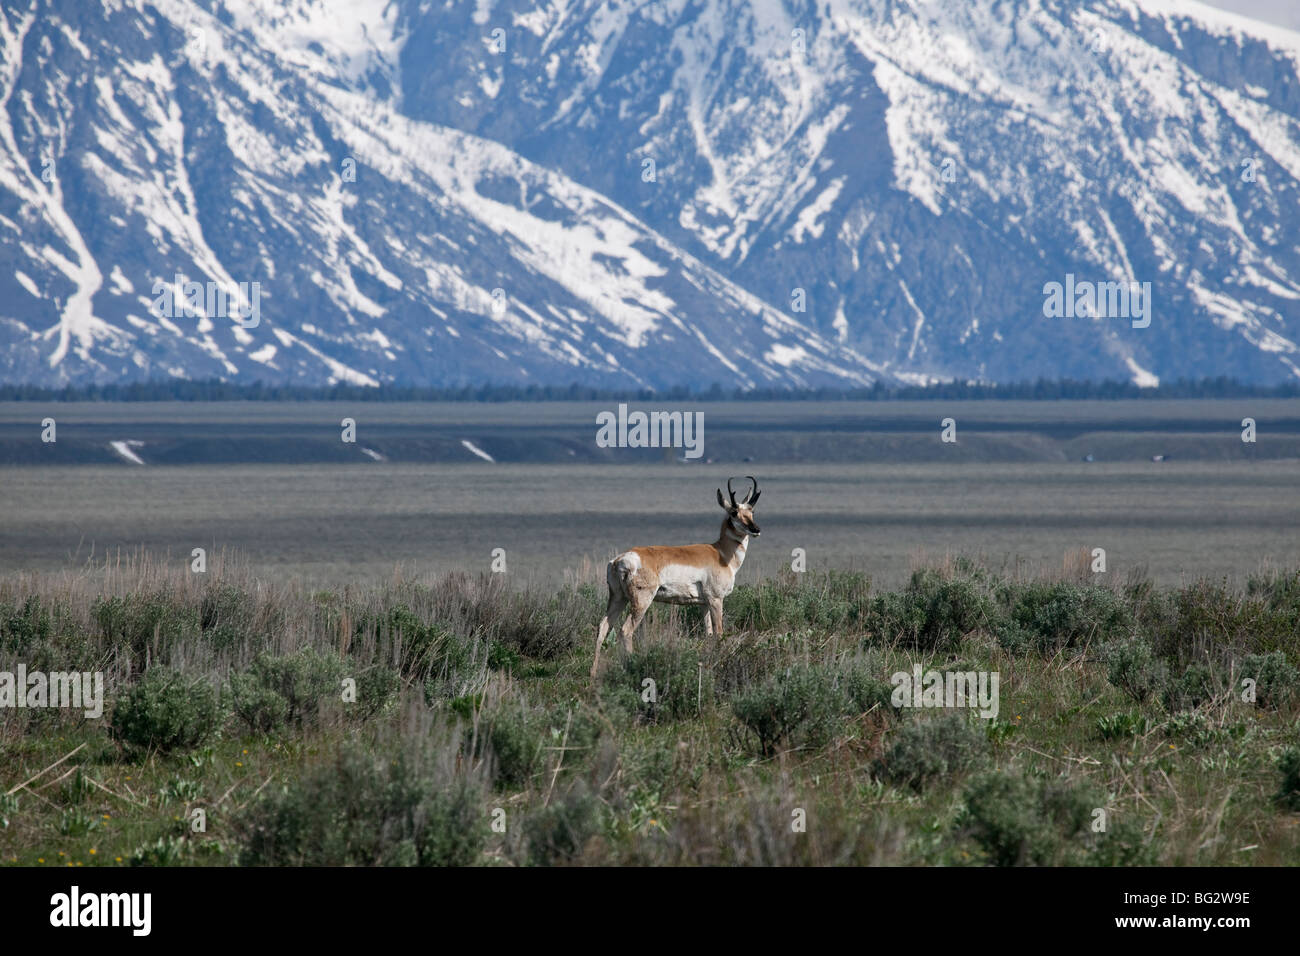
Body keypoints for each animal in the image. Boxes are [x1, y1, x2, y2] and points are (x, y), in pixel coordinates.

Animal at [590, 476, 761, 677]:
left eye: (751, 511)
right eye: (734, 512)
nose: (755, 529)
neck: (720, 553)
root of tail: (619, 560)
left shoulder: (703, 604)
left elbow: (709, 634)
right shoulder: (716, 600)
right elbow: (719, 633)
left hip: (618, 598)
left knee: (603, 627)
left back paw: (593, 674)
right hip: (641, 601)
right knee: (625, 631)